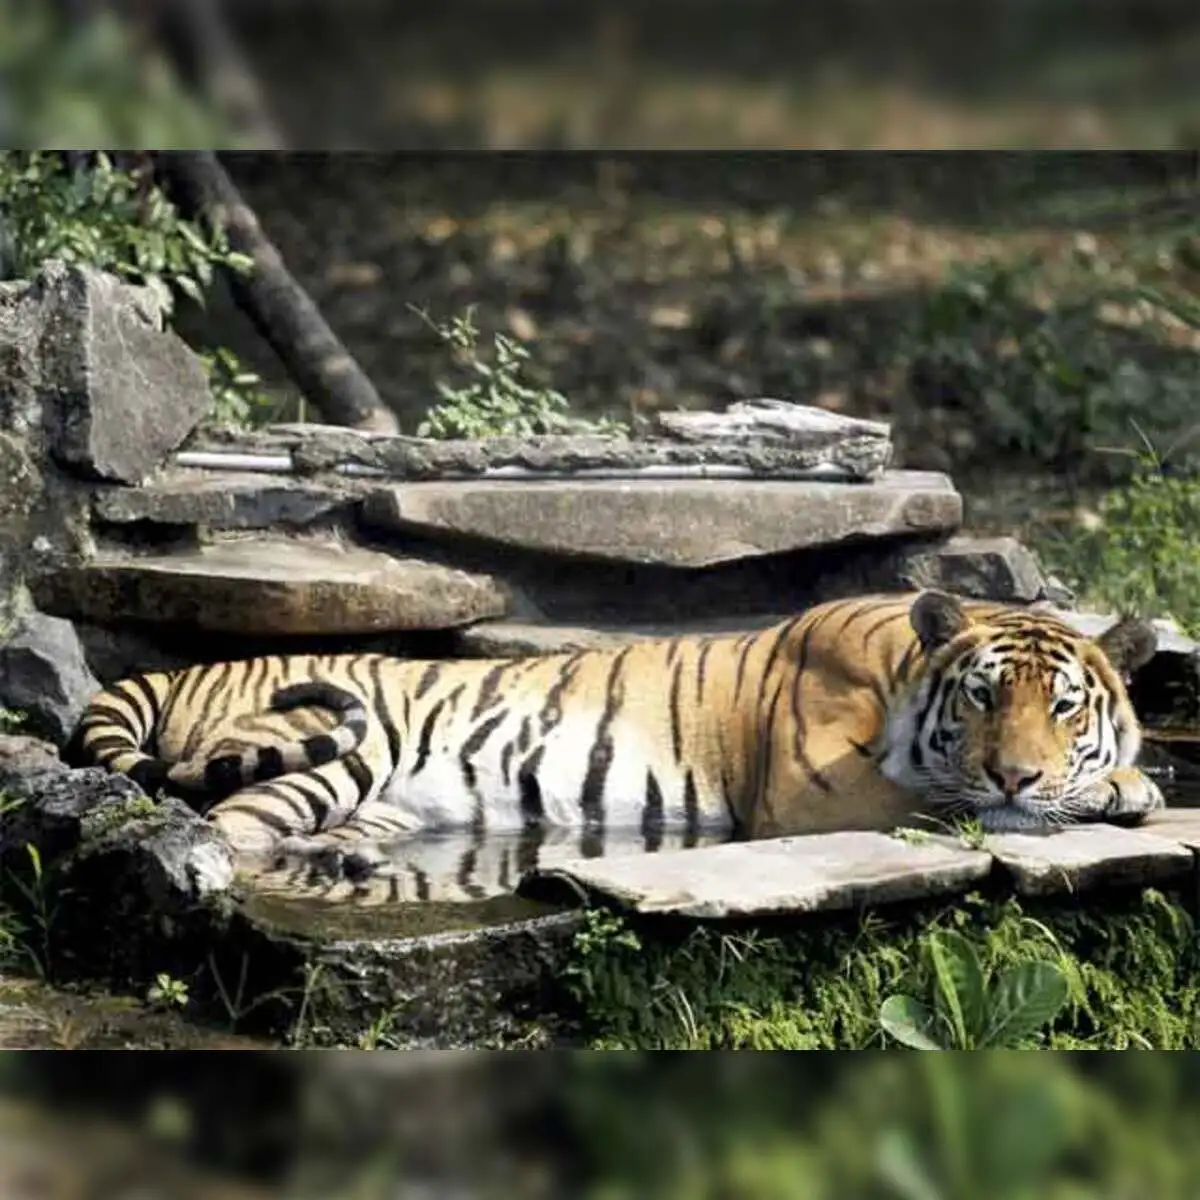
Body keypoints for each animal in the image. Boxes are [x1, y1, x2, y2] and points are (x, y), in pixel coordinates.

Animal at [73, 589, 1164, 904]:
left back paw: (348, 865)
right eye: (982, 698)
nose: (1015, 769)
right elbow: (947, 800)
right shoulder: (810, 797)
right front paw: (1089, 793)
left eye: (1065, 708)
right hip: (324, 744)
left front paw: (1125, 783)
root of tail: (195, 667)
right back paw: (210, 873)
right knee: (224, 819)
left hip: (378, 796)